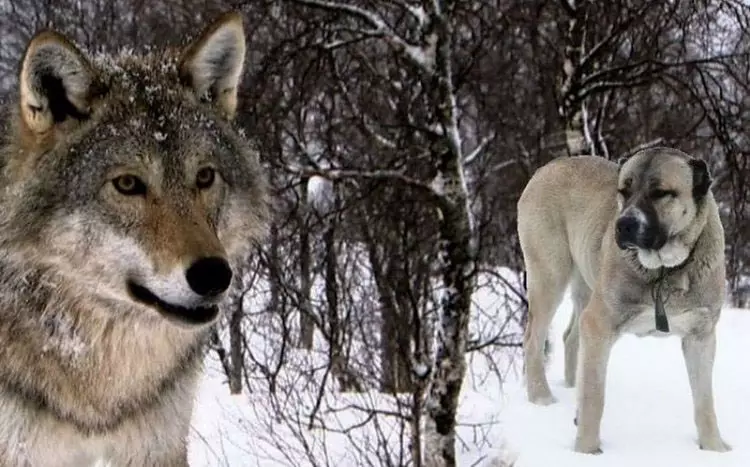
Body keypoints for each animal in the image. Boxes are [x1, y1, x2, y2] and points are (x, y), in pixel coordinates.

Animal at [516, 148, 728, 456]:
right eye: (623, 192)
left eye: (660, 193)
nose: (624, 224)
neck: (664, 271)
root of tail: (549, 166)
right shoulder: (600, 324)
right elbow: (594, 395)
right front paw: (587, 451)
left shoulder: (700, 335)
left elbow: (704, 402)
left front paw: (714, 450)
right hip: (549, 274)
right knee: (533, 339)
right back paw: (542, 397)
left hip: (586, 283)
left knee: (571, 337)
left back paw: (570, 389)